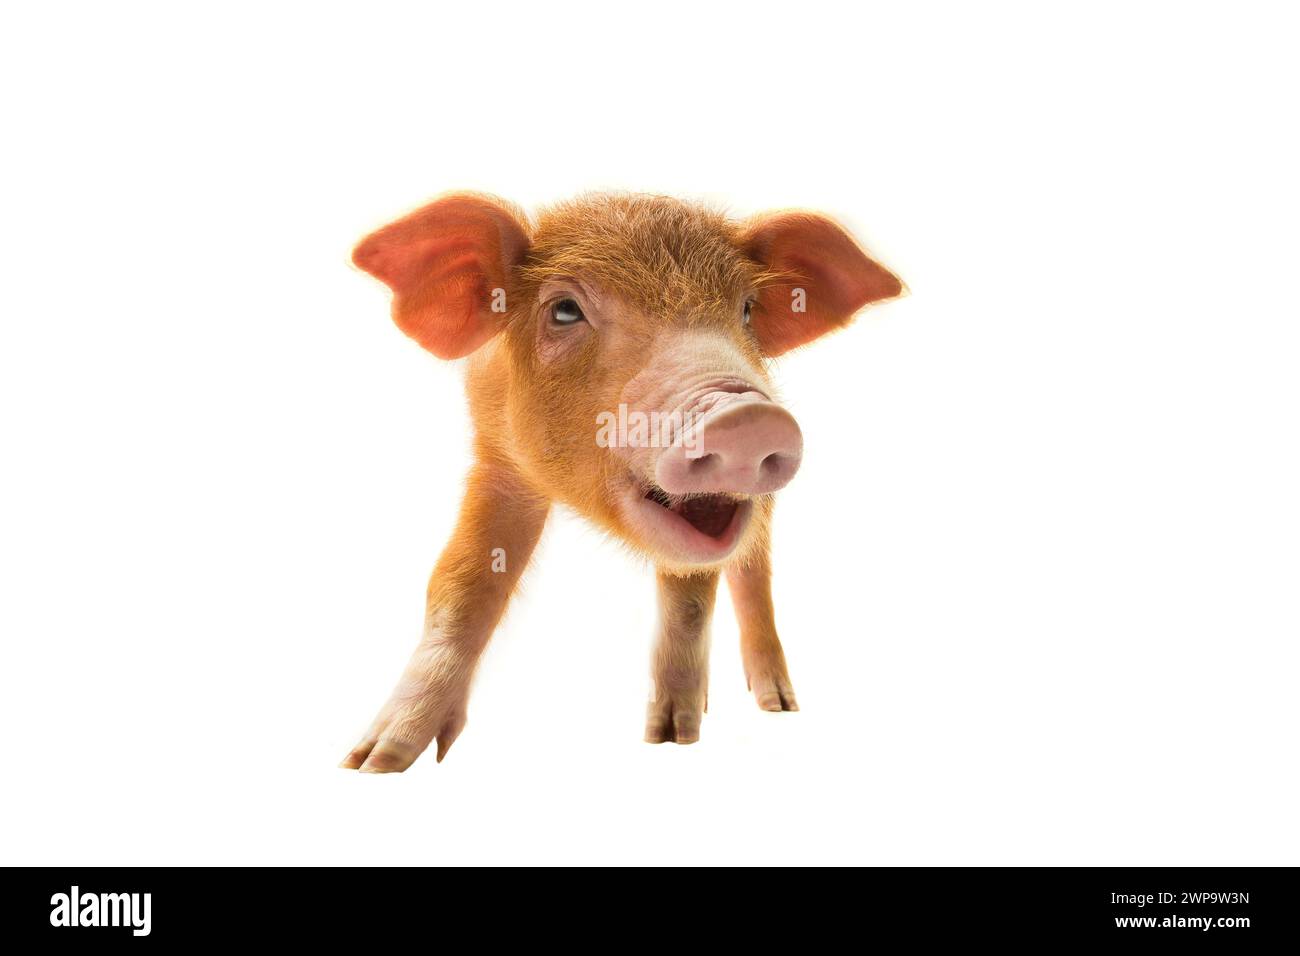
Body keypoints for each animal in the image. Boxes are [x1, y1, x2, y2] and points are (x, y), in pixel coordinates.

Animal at [339, 192, 902, 772]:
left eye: (747, 310)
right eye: (565, 309)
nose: (746, 414)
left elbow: (690, 599)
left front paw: (669, 740)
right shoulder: (498, 460)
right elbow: (463, 582)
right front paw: (373, 760)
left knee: (753, 571)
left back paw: (779, 706)